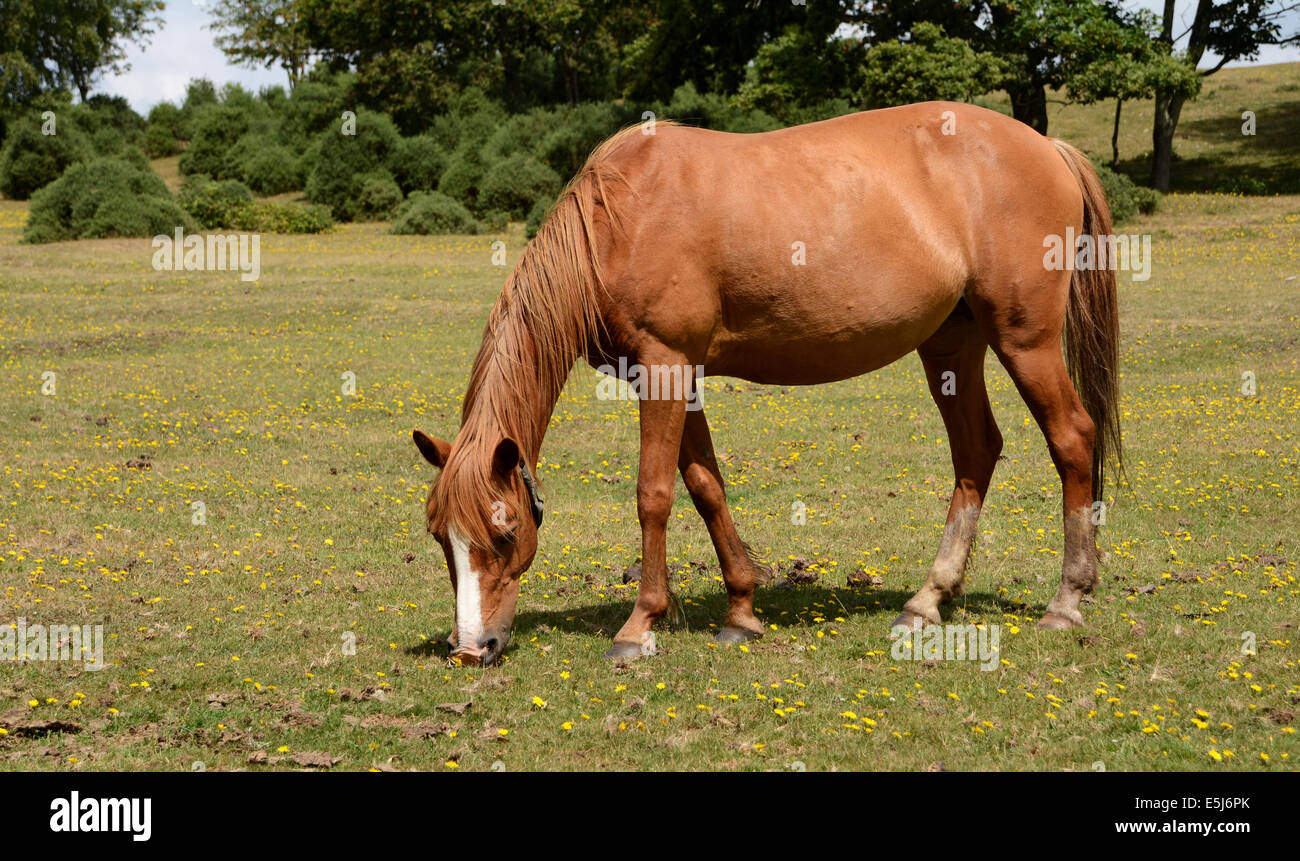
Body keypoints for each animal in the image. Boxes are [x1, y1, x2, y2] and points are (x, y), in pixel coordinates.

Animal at [412, 101, 1121, 665]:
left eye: (505, 534)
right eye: (441, 539)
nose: (471, 649)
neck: (617, 221)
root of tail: (1047, 148)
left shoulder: (665, 365)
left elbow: (654, 494)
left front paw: (639, 626)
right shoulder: (673, 374)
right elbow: (706, 487)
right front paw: (742, 612)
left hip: (1024, 340)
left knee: (1072, 438)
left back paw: (1066, 600)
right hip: (952, 343)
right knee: (976, 451)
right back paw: (927, 601)